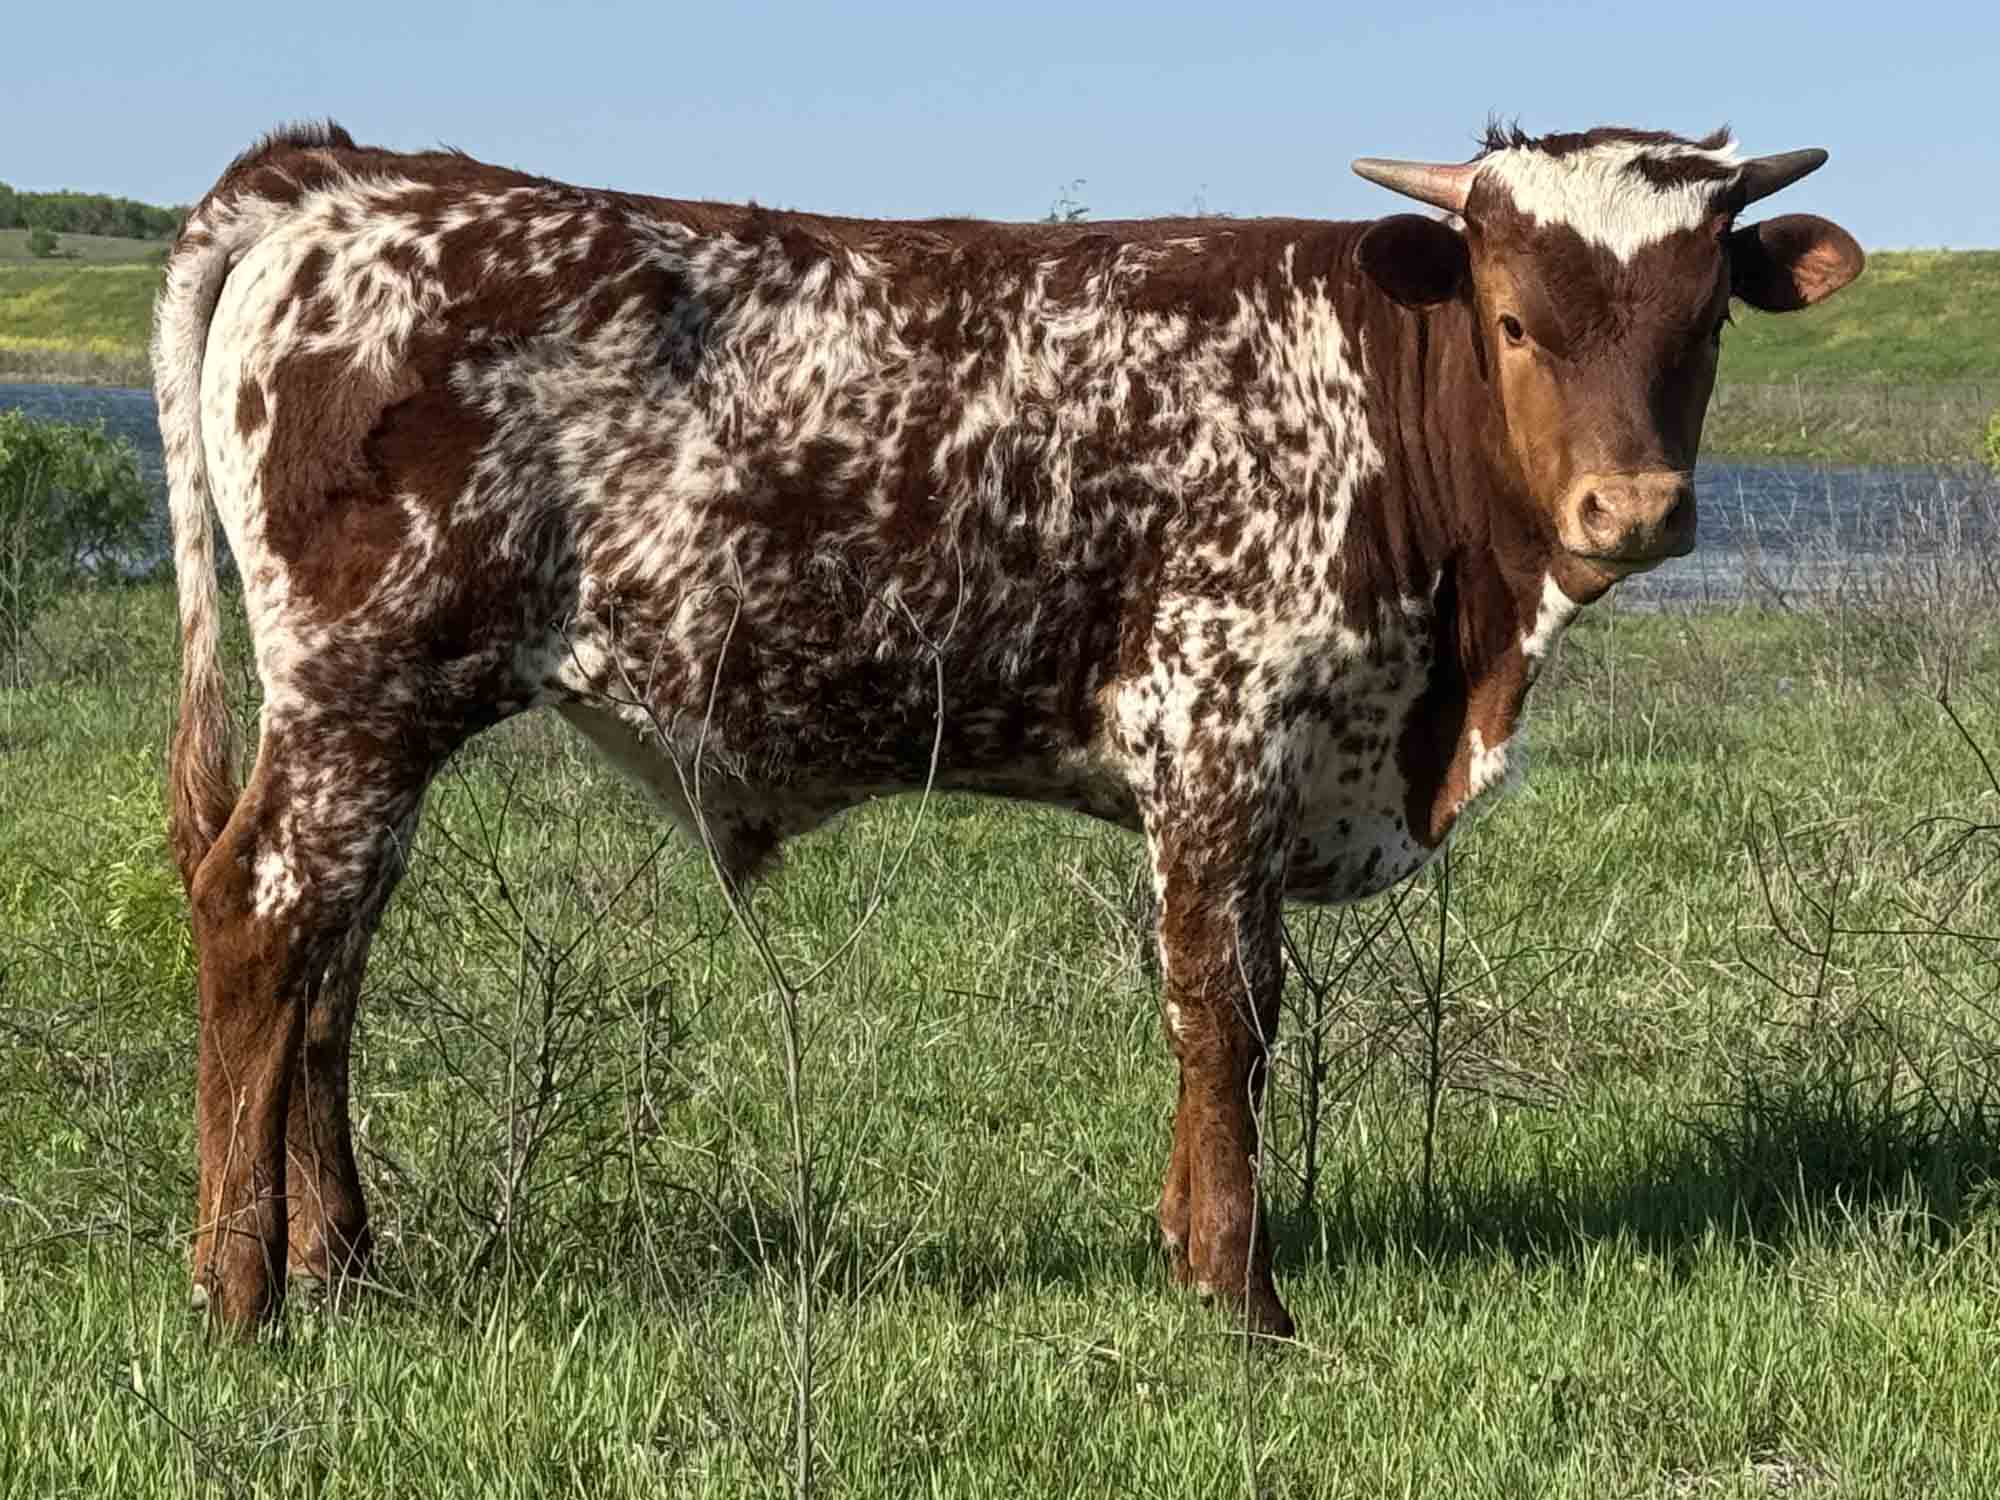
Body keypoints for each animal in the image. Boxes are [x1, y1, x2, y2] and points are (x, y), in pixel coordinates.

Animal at [155, 120, 1861, 1338]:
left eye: (1706, 323)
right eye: (1513, 320)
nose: (1634, 509)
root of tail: (355, 180)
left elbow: (1223, 1014)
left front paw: (1184, 1250)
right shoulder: (1220, 726)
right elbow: (1227, 1010)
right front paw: (1241, 1292)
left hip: (379, 720)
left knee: (332, 959)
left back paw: (344, 1265)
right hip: (364, 691)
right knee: (261, 920)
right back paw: (242, 1294)